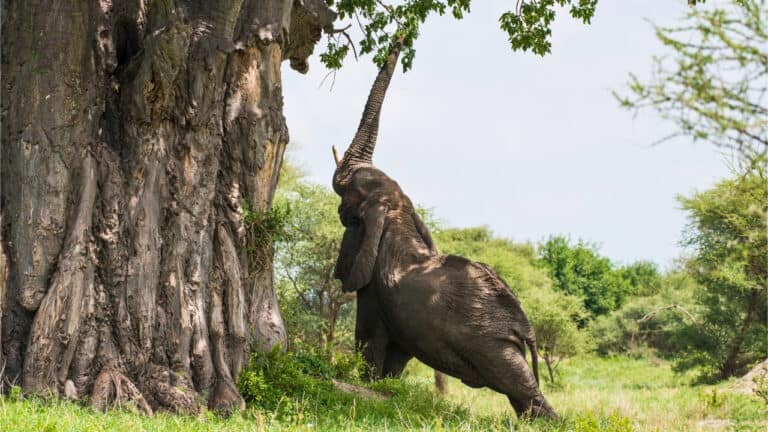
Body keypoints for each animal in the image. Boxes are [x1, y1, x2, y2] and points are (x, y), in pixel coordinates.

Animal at [330, 34, 557, 419]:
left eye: (347, 215)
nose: (402, 33)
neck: (396, 213)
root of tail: (524, 328)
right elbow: (393, 364)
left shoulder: (375, 293)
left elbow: (369, 345)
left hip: (491, 345)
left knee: (526, 393)